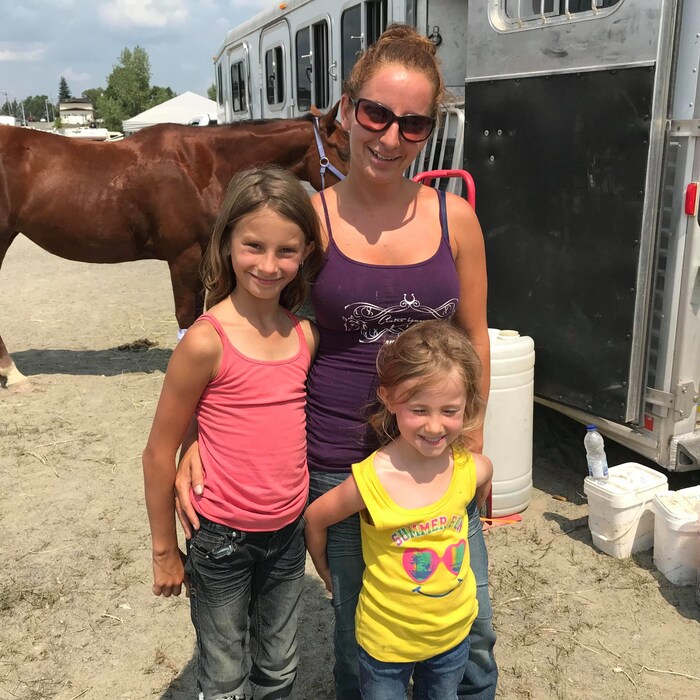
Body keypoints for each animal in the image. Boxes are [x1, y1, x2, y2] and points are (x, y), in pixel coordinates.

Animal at [0, 105, 349, 387]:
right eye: (344, 151)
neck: (198, 165)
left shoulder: (200, 257)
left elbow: (197, 312)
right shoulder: (183, 257)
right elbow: (185, 314)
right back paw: (14, 374)